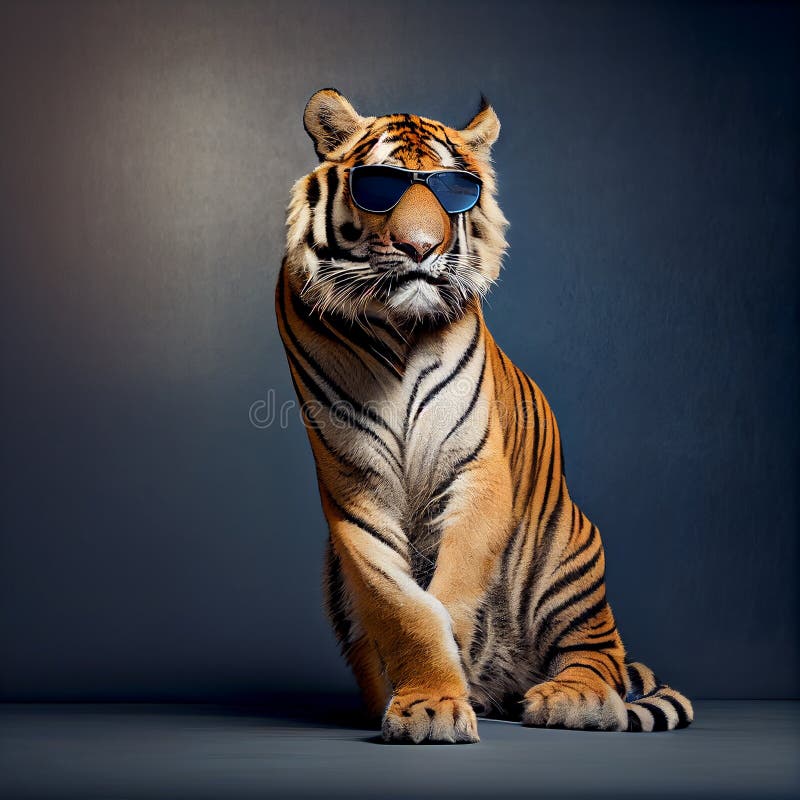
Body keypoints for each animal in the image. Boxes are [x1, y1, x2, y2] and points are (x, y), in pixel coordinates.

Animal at [275, 88, 693, 743]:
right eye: (379, 187)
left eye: (455, 190)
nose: (421, 246)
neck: (399, 329)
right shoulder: (355, 488)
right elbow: (403, 608)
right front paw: (431, 703)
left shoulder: (477, 471)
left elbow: (454, 588)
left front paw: (444, 686)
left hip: (571, 554)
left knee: (600, 654)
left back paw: (569, 699)